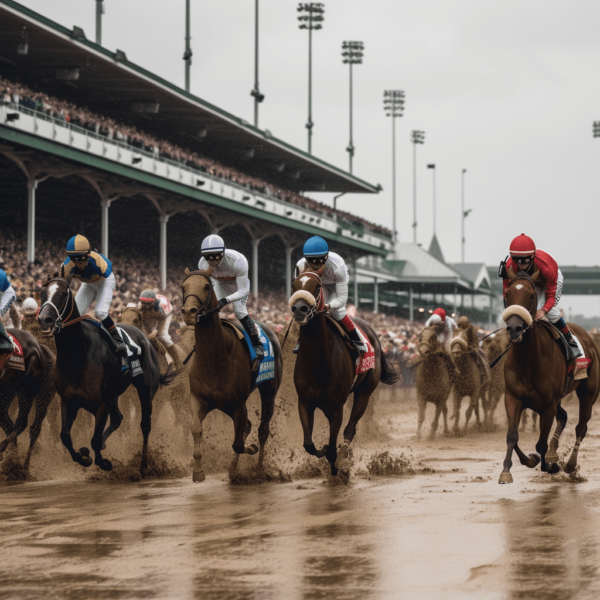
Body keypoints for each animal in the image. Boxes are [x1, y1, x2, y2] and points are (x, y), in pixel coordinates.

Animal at [0, 328, 56, 474]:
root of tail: (40, 348)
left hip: (31, 392)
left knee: (28, 425)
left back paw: (22, 466)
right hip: (11, 390)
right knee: (10, 424)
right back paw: (13, 463)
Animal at [38, 276, 176, 478]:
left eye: (63, 294)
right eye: (42, 293)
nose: (44, 319)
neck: (77, 354)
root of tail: (146, 338)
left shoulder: (101, 404)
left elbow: (94, 439)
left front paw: (103, 462)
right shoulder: (68, 400)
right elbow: (65, 436)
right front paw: (84, 457)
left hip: (145, 390)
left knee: (145, 424)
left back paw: (143, 467)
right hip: (115, 394)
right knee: (118, 418)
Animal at [180, 268, 284, 482]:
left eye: (206, 286)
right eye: (183, 286)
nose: (188, 312)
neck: (214, 359)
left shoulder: (238, 404)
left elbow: (238, 442)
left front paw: (251, 449)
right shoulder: (199, 399)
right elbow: (196, 428)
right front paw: (198, 471)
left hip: (269, 391)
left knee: (262, 429)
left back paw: (259, 469)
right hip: (226, 405)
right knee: (249, 426)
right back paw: (235, 469)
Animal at [290, 270, 398, 474]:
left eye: (317, 286)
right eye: (294, 284)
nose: (299, 309)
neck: (318, 364)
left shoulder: (336, 406)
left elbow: (333, 450)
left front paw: (338, 465)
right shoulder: (305, 401)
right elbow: (309, 445)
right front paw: (323, 449)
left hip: (365, 392)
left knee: (350, 428)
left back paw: (344, 455)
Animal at [496, 270, 600, 486]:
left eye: (531, 296)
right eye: (507, 294)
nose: (514, 328)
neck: (529, 360)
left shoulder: (547, 405)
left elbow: (541, 444)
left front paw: (550, 466)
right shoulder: (513, 398)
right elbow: (512, 436)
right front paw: (509, 469)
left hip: (588, 393)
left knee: (581, 427)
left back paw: (569, 464)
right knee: (564, 416)